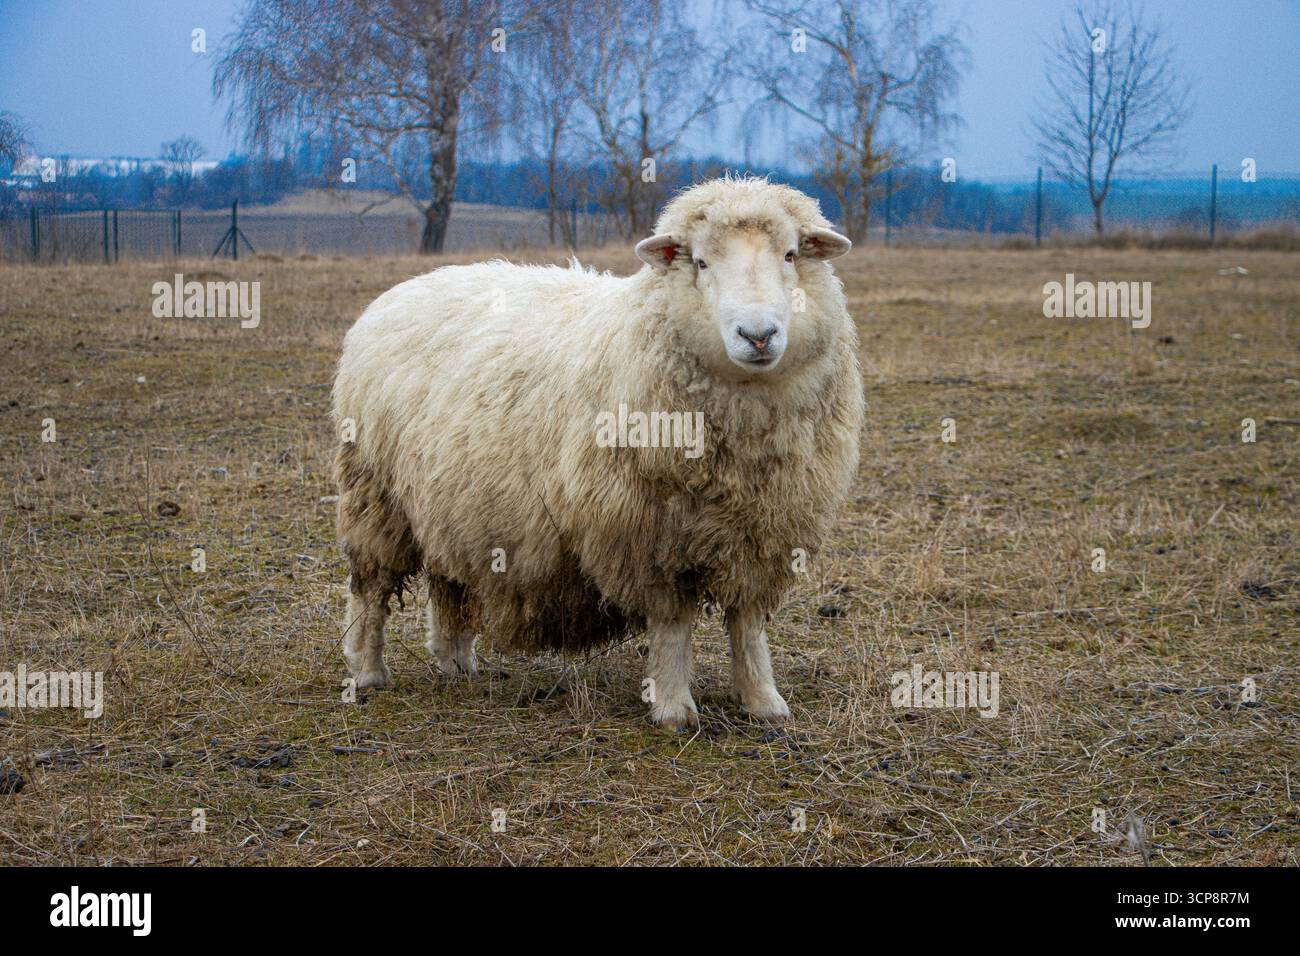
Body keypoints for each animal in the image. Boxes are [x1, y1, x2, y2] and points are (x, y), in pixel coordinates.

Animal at [332, 176, 863, 729]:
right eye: (700, 262)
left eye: (790, 254)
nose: (758, 336)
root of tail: (407, 287)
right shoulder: (649, 537)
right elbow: (672, 625)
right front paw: (674, 708)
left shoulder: (766, 532)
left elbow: (748, 622)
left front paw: (764, 702)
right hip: (375, 495)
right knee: (369, 589)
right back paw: (368, 672)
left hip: (445, 500)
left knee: (447, 581)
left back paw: (455, 662)